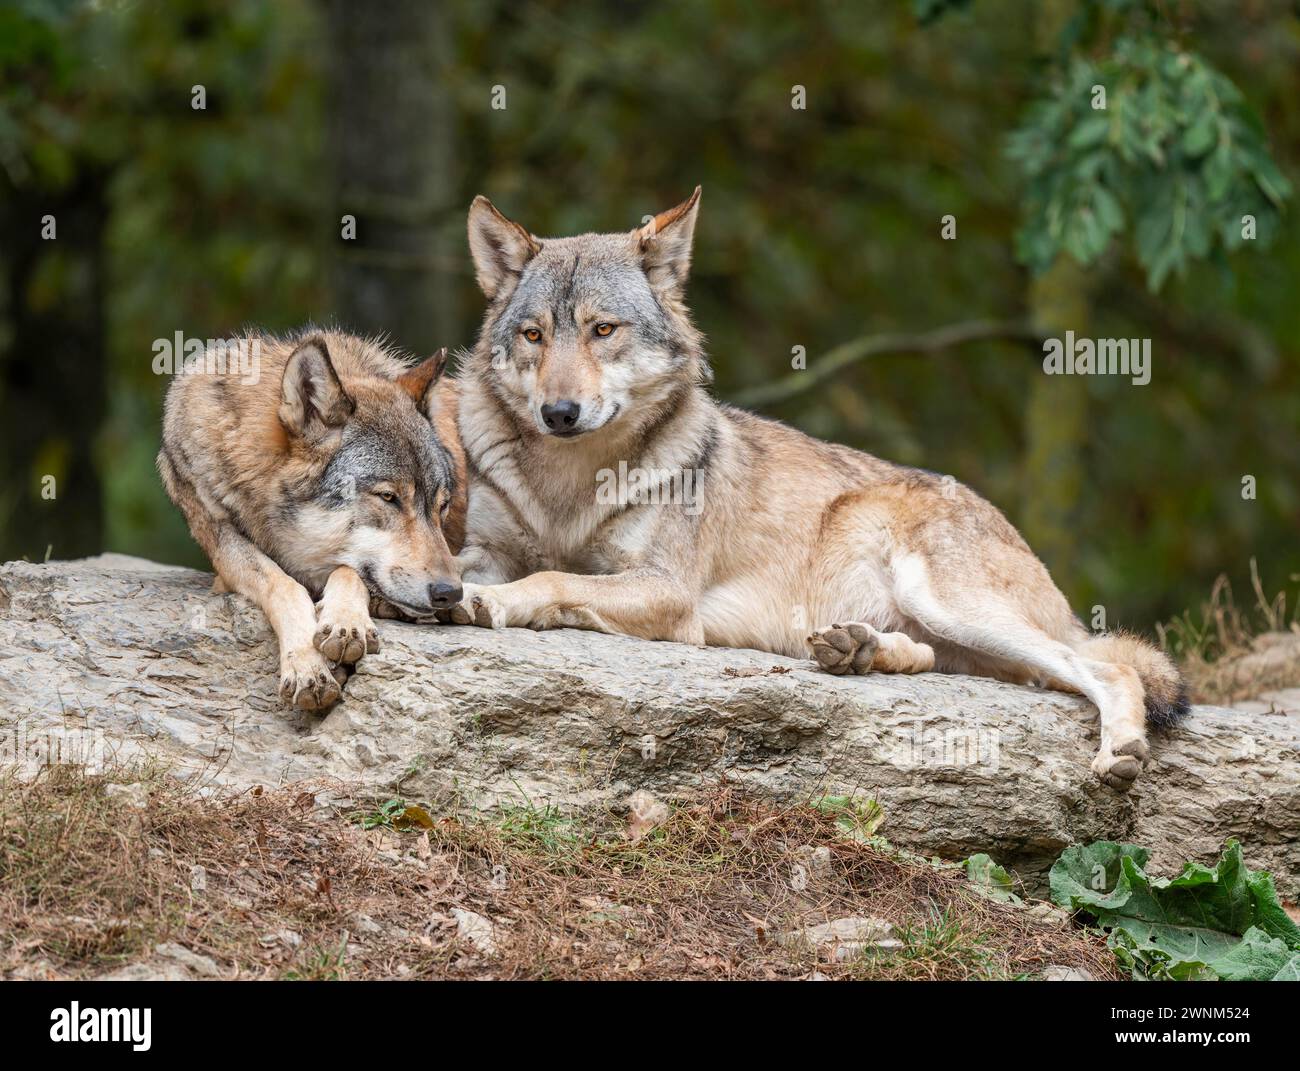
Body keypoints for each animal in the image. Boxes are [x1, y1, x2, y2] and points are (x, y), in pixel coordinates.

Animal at [158, 328, 465, 710]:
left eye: (442, 505)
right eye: (389, 498)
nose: (451, 593)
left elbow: (348, 570)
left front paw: (346, 622)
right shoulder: (223, 547)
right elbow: (283, 585)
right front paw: (307, 665)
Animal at [444, 188, 1189, 791]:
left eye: (603, 330)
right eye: (534, 335)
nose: (559, 413)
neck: (568, 487)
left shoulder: (666, 592)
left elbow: (551, 580)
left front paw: (493, 603)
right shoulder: (489, 547)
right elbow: (473, 565)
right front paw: (449, 592)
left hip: (951, 602)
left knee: (1100, 667)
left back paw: (1121, 750)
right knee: (941, 659)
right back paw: (857, 649)